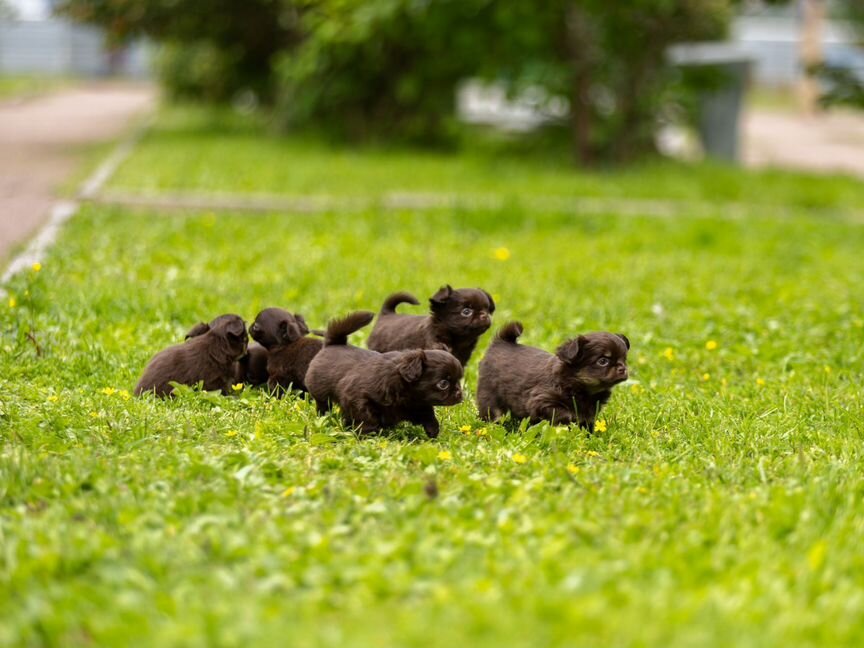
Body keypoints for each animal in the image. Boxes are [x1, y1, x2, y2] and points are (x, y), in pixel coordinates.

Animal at [306, 312, 466, 438]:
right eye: (443, 384)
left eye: (459, 381)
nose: (459, 393)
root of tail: (333, 344)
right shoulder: (356, 398)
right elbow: (366, 417)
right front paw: (369, 434)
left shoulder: (416, 405)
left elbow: (428, 414)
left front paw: (433, 430)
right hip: (322, 396)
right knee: (323, 407)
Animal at [476, 322, 632, 430]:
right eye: (603, 361)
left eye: (624, 359)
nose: (622, 368)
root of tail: (501, 342)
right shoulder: (542, 402)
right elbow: (564, 414)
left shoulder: (589, 414)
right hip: (490, 397)